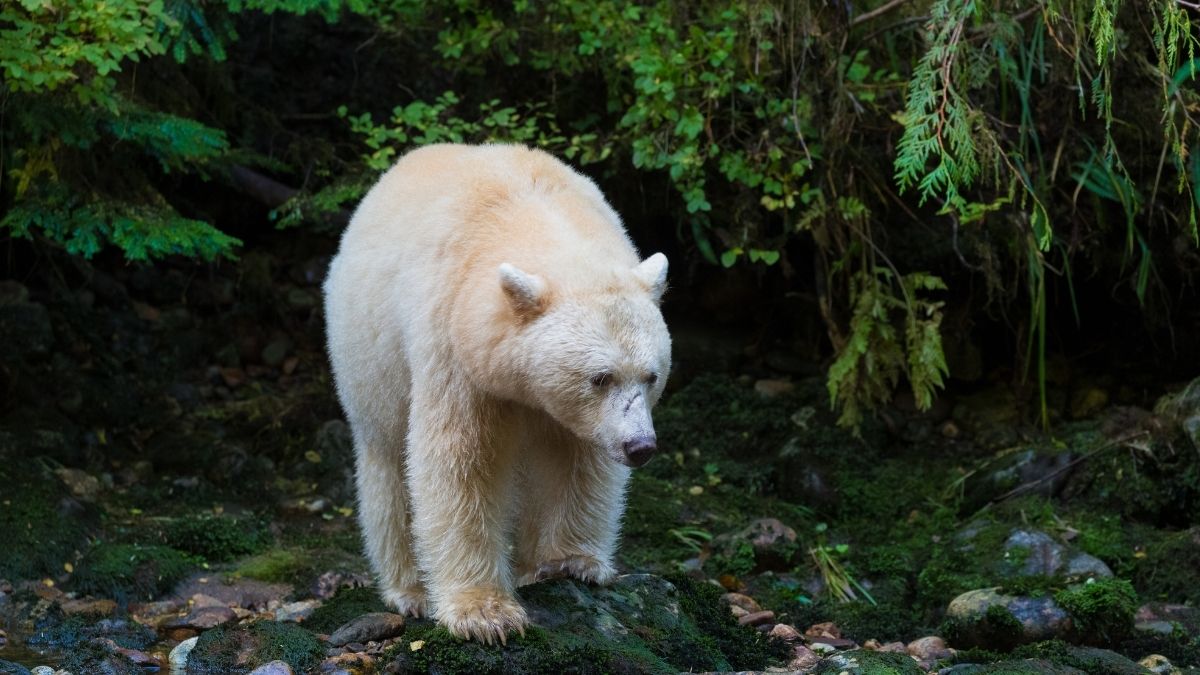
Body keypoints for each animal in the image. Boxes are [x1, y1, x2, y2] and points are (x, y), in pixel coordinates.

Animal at [322, 143, 671, 644]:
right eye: (600, 377)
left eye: (651, 376)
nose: (639, 446)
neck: (532, 214)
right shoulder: (454, 344)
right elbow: (463, 463)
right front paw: (485, 613)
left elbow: (577, 460)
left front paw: (570, 563)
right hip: (367, 353)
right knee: (386, 458)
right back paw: (409, 589)